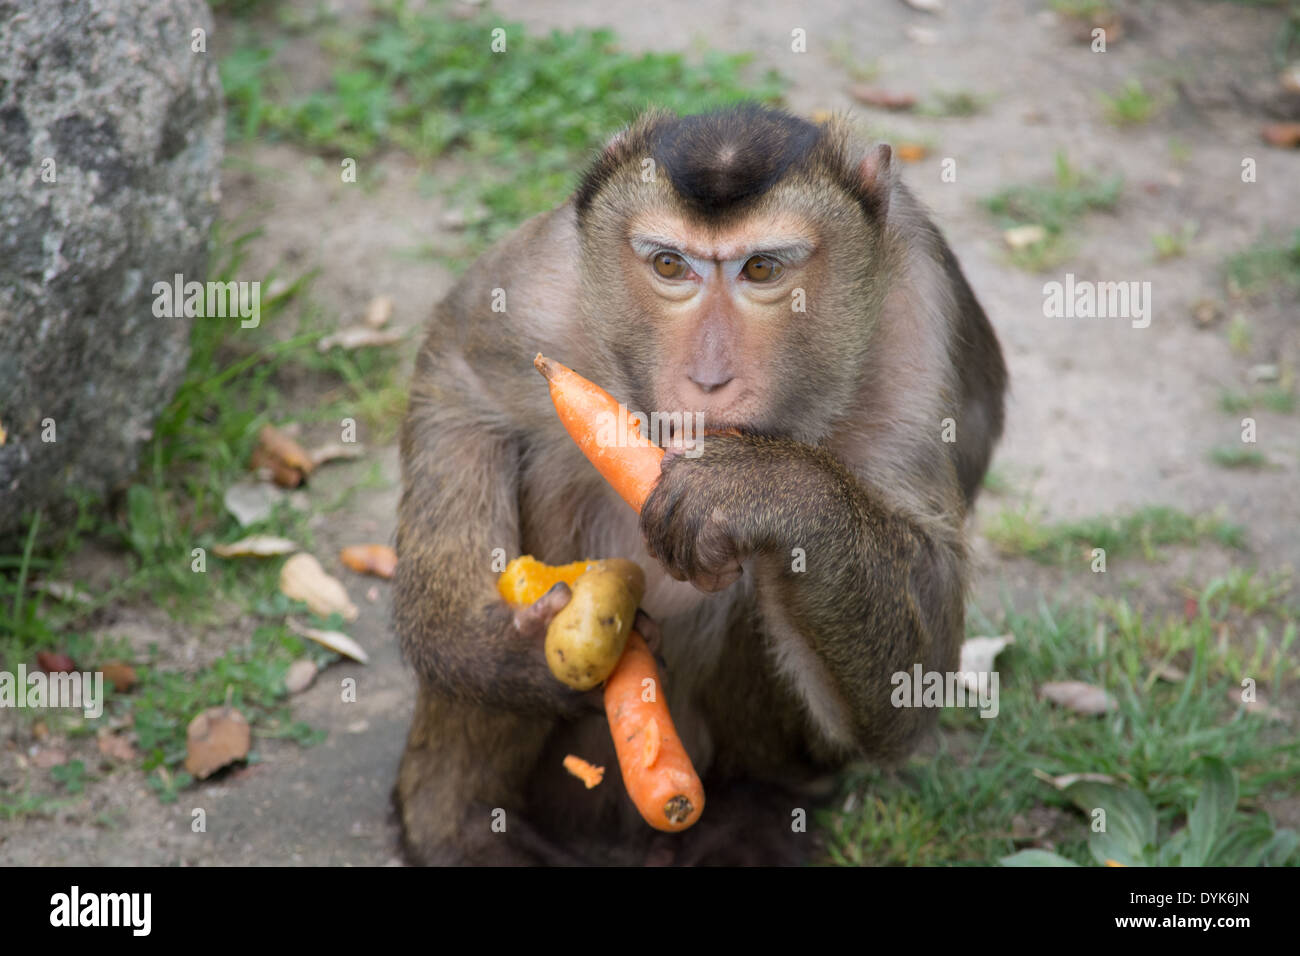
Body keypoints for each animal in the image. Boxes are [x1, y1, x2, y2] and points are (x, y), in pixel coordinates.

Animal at [392, 103, 1007, 866]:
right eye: (669, 266)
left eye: (762, 269)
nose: (708, 378)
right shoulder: (552, 275)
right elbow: (459, 375)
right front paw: (506, 655)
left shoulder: (917, 316)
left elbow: (911, 683)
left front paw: (763, 489)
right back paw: (460, 819)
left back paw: (750, 812)